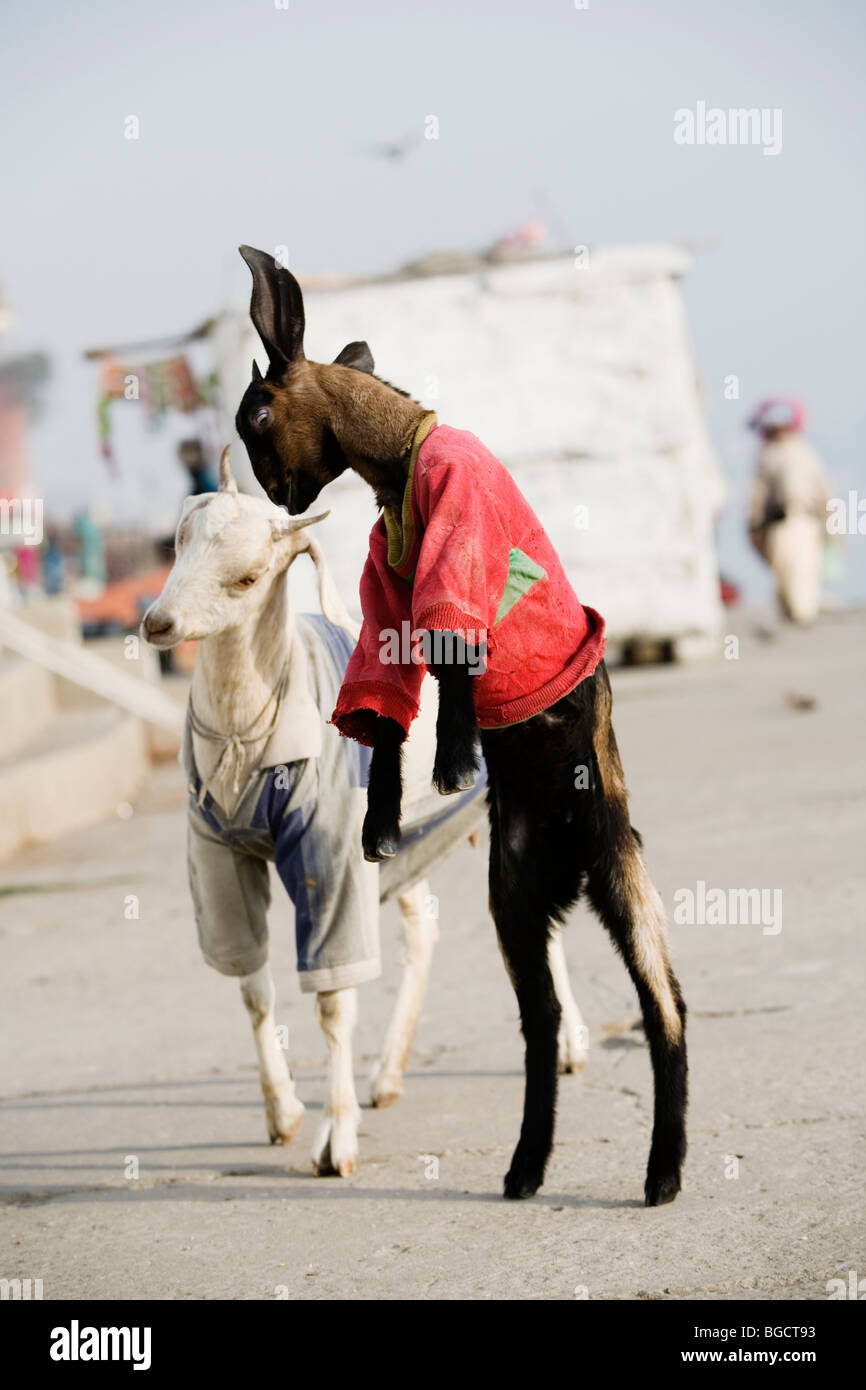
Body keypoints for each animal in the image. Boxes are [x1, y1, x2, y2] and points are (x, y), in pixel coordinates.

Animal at [142, 446, 588, 1176]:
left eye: (247, 576)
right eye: (179, 542)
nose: (157, 624)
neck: (245, 735)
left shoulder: (332, 851)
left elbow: (333, 1000)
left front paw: (336, 1139)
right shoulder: (216, 851)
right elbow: (252, 987)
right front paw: (284, 1113)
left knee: (540, 923)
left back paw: (573, 1044)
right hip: (404, 837)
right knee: (425, 932)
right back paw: (388, 1075)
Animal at [233, 246, 688, 1206]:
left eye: (257, 414)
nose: (275, 495)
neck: (400, 458)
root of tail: (566, 854)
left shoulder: (458, 535)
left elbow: (455, 659)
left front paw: (452, 761)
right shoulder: (388, 594)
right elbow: (386, 710)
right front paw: (380, 826)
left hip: (620, 872)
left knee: (663, 1003)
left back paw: (663, 1172)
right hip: (514, 899)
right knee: (541, 1021)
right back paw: (525, 1167)